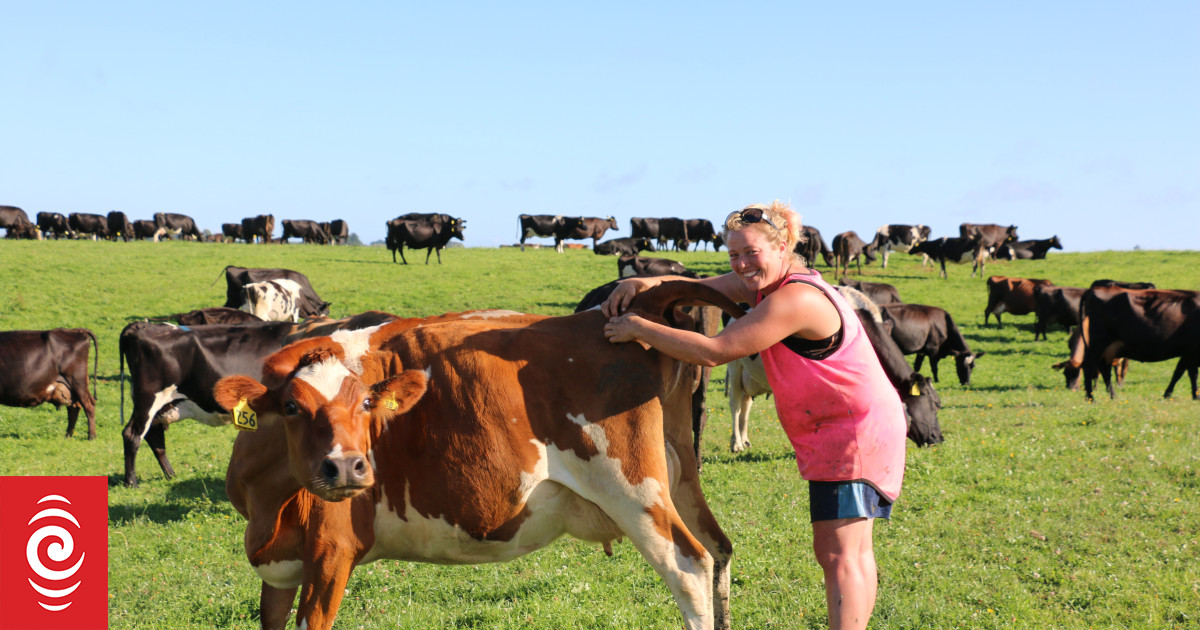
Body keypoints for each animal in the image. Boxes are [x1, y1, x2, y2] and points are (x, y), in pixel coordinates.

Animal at [213, 282, 744, 630]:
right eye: (290, 407)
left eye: (366, 403)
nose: (346, 466)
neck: (269, 504)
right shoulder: (278, 573)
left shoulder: (330, 550)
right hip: (681, 477)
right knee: (718, 549)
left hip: (632, 491)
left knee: (689, 567)